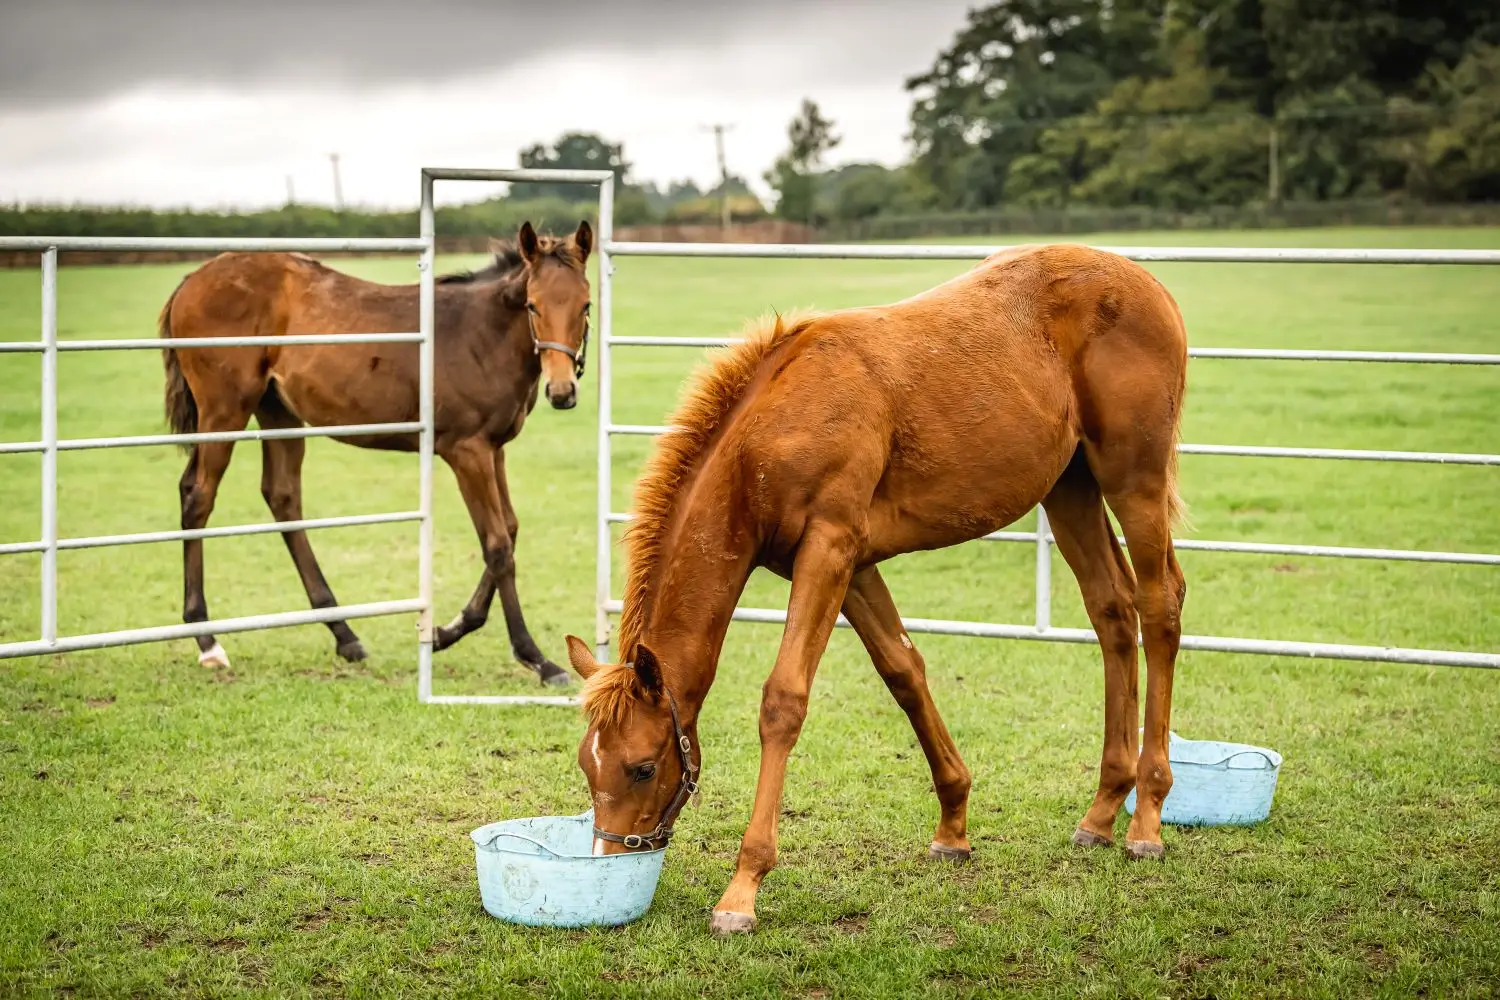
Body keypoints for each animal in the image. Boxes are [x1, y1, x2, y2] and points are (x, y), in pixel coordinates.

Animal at [157, 220, 594, 686]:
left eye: (586, 305)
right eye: (533, 305)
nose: (562, 391)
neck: (481, 334)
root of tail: (191, 279)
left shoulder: (494, 449)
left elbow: (509, 530)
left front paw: (444, 632)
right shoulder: (466, 450)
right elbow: (496, 545)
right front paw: (537, 658)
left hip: (277, 411)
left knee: (282, 496)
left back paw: (344, 635)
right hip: (224, 410)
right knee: (199, 497)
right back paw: (207, 640)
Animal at [562, 242, 1190, 934]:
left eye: (642, 767)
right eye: (588, 764)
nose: (610, 860)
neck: (772, 430)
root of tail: (1145, 281)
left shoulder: (828, 551)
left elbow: (784, 702)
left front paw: (742, 890)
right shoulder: (852, 565)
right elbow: (903, 670)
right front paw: (953, 824)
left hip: (1134, 481)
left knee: (1159, 607)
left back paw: (1146, 817)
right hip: (1070, 488)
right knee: (1112, 611)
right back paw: (1102, 810)